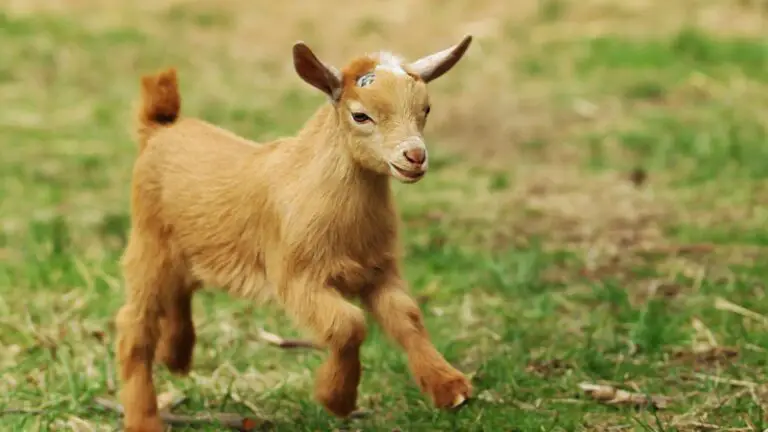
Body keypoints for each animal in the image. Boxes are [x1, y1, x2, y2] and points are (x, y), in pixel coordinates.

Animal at [115, 34, 473, 432]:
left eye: (426, 109)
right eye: (360, 115)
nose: (415, 157)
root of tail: (159, 128)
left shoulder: (378, 272)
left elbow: (407, 317)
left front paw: (450, 388)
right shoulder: (296, 277)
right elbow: (348, 324)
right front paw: (337, 399)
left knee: (179, 292)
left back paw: (176, 357)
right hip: (147, 246)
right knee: (133, 326)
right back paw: (144, 418)